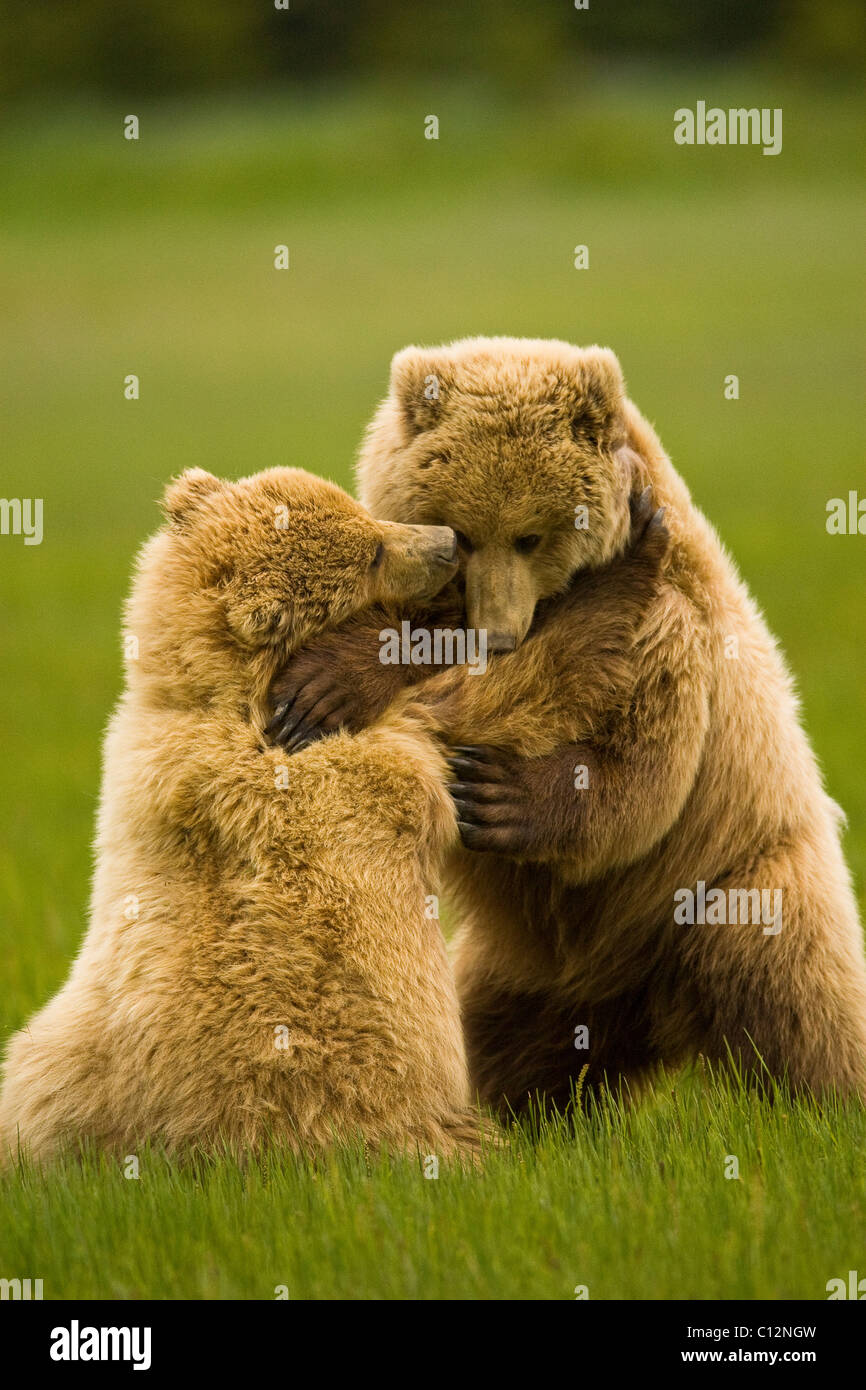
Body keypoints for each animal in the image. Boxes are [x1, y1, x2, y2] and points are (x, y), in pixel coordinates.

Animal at [0, 465, 496, 1165]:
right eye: (372, 552)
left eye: (362, 513)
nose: (447, 541)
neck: (239, 699)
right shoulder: (343, 776)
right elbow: (416, 776)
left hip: (63, 1055)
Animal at [266, 336, 866, 1116]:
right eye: (463, 532)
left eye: (531, 535)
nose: (498, 631)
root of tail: (646, 994)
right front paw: (323, 684)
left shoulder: (671, 636)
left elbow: (635, 768)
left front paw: (499, 793)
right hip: (527, 978)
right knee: (507, 1049)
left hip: (744, 882)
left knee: (798, 1003)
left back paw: (831, 1101)